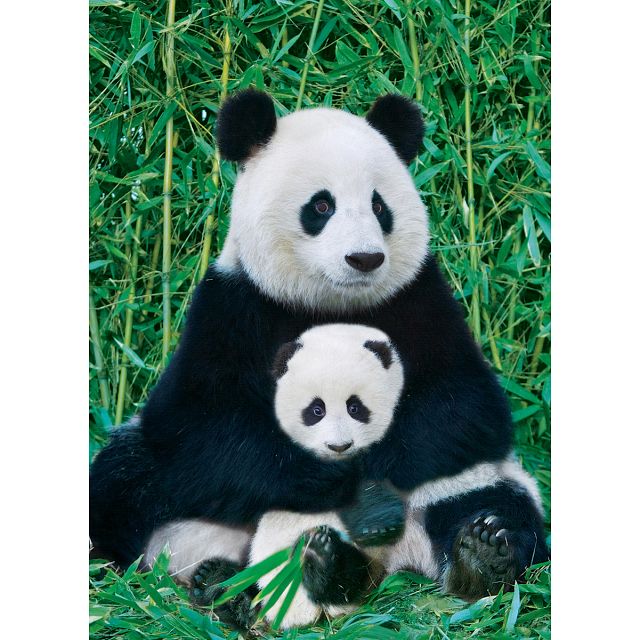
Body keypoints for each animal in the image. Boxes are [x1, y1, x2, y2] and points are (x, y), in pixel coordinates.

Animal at [89, 89, 548, 624]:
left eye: (378, 205)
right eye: (322, 205)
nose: (365, 259)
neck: (330, 303)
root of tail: (392, 563)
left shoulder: (421, 300)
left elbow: (465, 408)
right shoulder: (232, 307)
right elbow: (198, 425)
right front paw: (330, 473)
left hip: (472, 482)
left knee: (496, 502)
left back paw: (478, 556)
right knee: (124, 481)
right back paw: (227, 585)